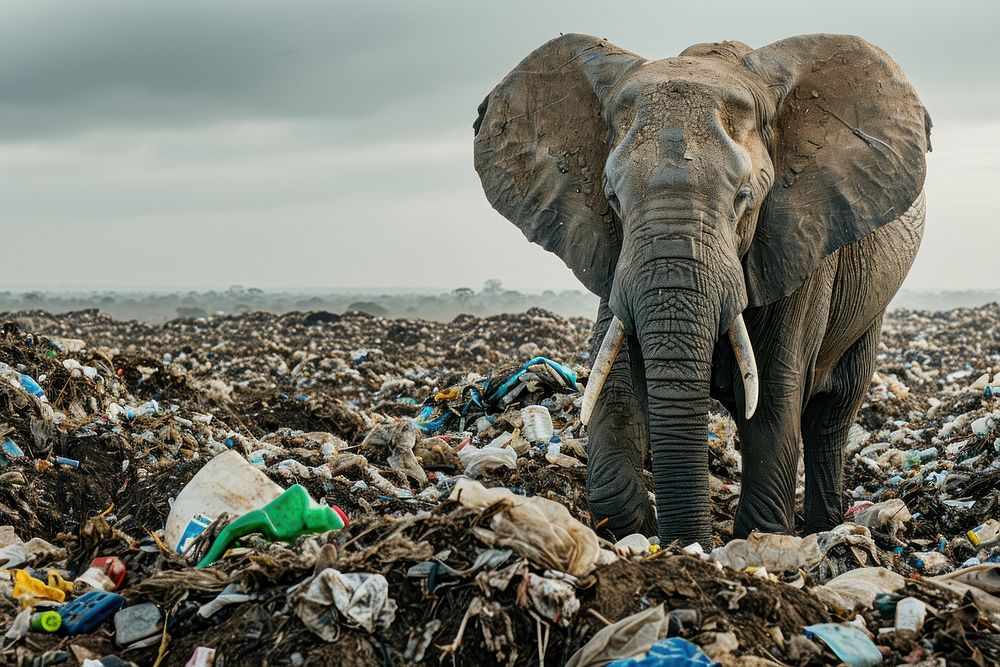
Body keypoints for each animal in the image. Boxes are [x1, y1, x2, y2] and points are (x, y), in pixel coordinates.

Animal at [473, 33, 930, 548]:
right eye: (611, 198)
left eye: (744, 199)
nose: (684, 543)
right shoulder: (613, 259)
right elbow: (616, 381)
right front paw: (635, 532)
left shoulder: (800, 242)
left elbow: (774, 392)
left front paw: (757, 539)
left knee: (831, 412)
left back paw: (826, 530)